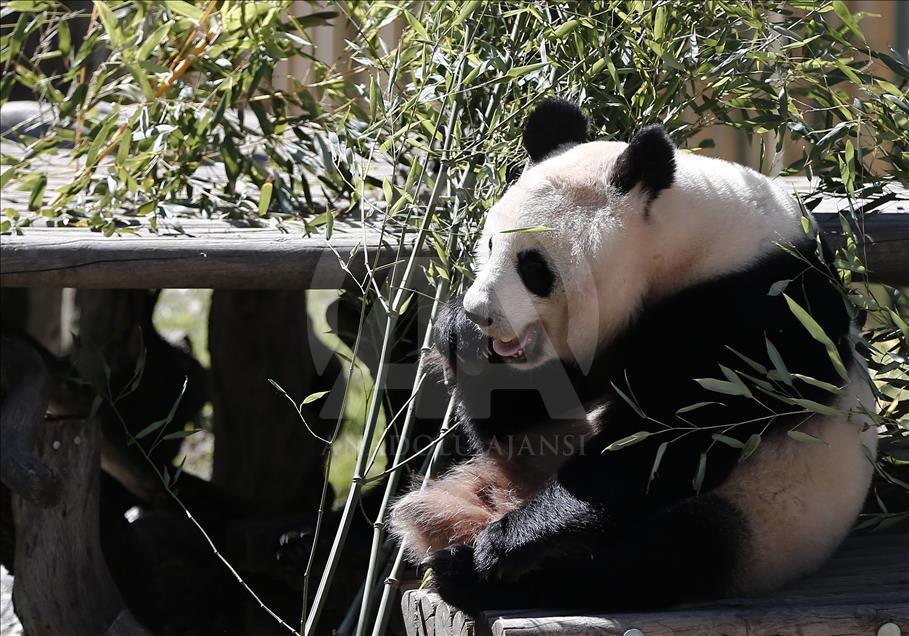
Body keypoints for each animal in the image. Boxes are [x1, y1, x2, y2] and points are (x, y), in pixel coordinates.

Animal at [390, 97, 878, 613]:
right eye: (489, 243)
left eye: (532, 266)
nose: (481, 313)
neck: (689, 243)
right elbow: (520, 415)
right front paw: (458, 333)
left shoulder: (758, 317)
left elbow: (665, 444)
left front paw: (503, 546)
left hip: (767, 518)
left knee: (658, 557)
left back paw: (475, 571)